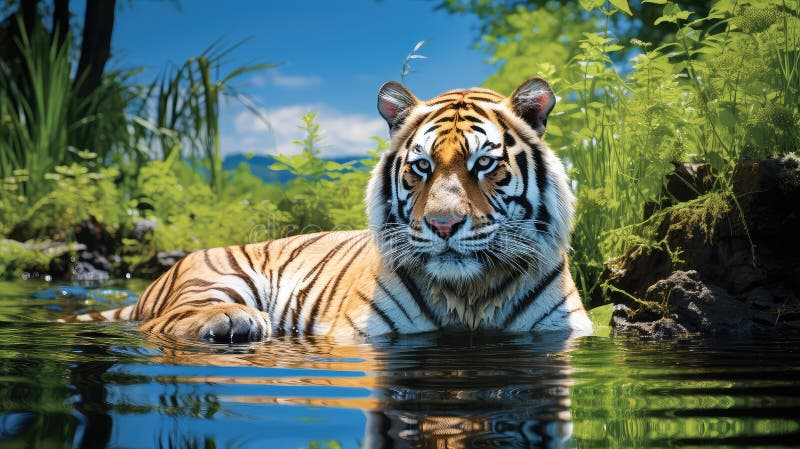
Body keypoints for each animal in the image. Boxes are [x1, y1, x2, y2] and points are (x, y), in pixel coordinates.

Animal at [59, 77, 593, 342]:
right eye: (420, 167)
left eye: (484, 164)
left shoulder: (560, 329)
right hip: (212, 278)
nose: (443, 225)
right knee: (163, 324)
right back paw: (236, 322)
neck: (469, 298)